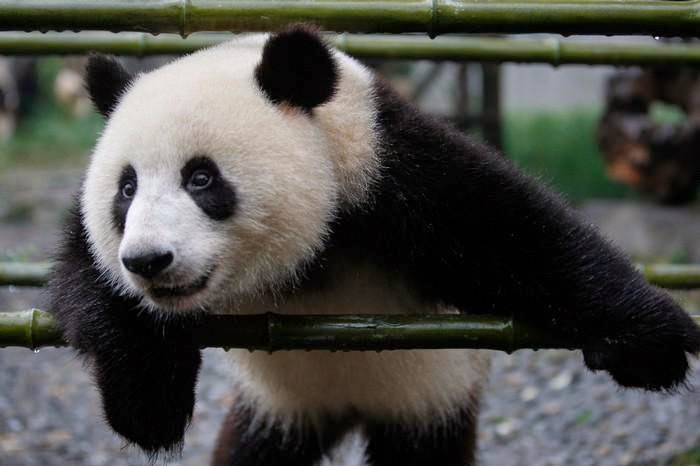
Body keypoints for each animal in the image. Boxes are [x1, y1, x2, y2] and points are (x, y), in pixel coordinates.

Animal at [48, 25, 700, 466]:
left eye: (202, 179)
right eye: (126, 188)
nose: (148, 261)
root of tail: (351, 408)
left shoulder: (382, 163)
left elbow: (515, 234)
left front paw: (647, 340)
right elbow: (87, 275)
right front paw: (147, 397)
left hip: (429, 398)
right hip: (277, 409)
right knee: (250, 451)